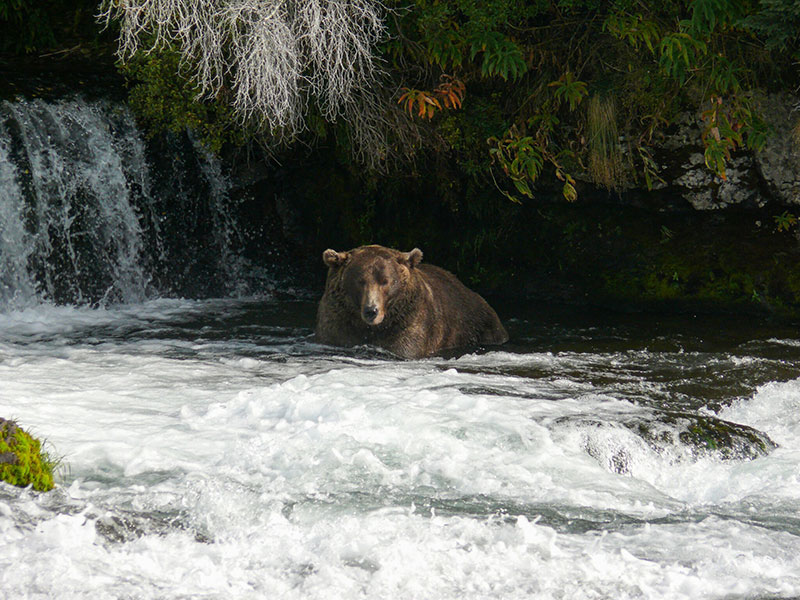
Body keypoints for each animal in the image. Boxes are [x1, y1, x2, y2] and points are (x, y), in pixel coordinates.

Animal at [315, 244, 508, 358]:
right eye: (360, 281)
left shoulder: (411, 321)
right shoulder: (337, 324)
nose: (372, 310)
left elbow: (406, 346)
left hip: (478, 324)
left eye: (385, 281)